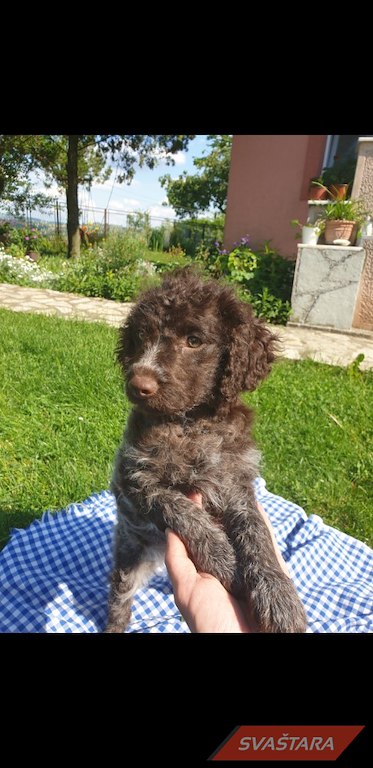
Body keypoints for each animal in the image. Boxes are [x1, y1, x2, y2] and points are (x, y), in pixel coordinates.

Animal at [106, 268, 306, 632]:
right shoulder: (134, 479)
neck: (191, 423)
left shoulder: (237, 482)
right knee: (120, 596)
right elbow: (181, 508)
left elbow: (256, 532)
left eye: (194, 340)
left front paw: (279, 597)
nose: (139, 385)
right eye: (142, 336)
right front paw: (225, 561)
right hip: (131, 549)